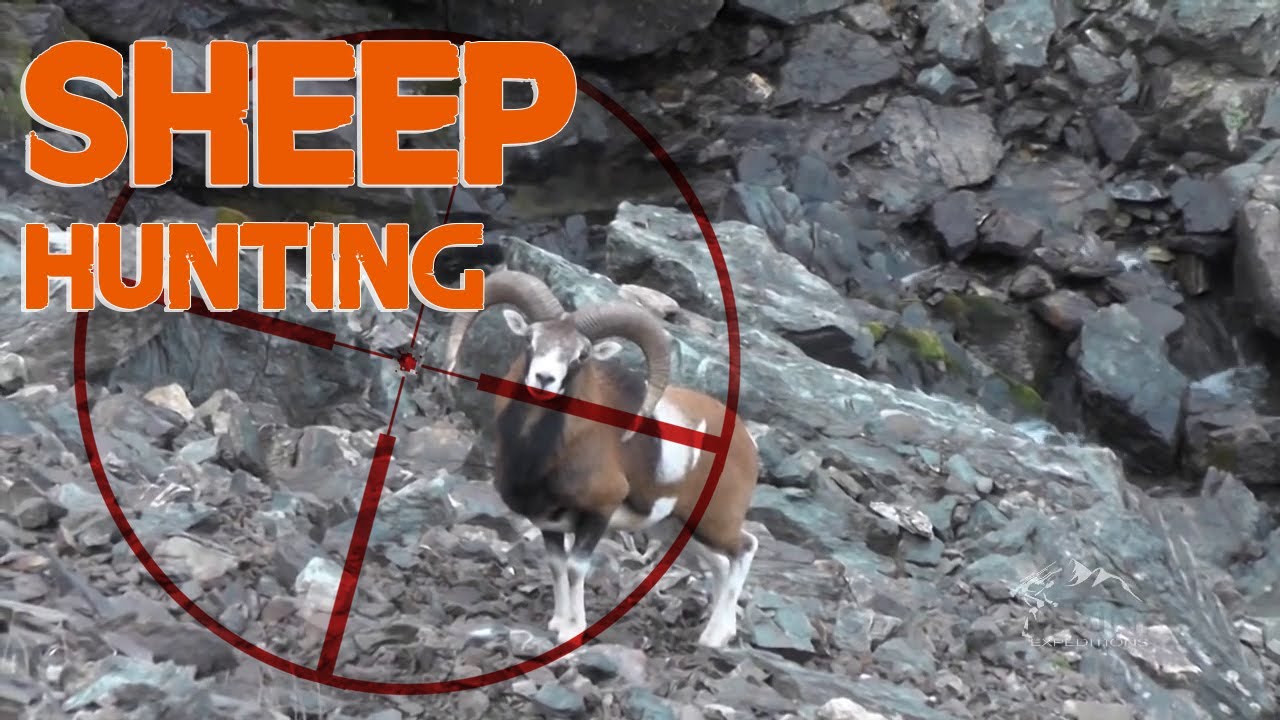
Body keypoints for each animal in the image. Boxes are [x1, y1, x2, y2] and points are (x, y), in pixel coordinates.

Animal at [442, 269, 760, 648]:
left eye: (581, 355)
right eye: (531, 340)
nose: (544, 379)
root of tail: (746, 442)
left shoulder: (597, 514)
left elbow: (576, 567)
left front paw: (573, 630)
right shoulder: (548, 522)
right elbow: (557, 566)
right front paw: (557, 622)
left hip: (714, 523)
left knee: (745, 549)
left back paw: (714, 638)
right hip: (679, 528)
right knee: (721, 564)